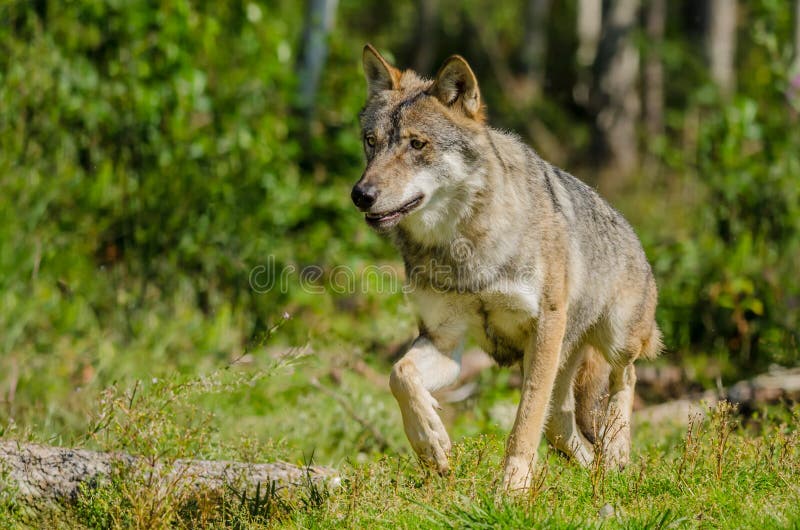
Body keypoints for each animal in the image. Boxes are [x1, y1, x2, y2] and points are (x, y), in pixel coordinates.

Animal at [351, 44, 662, 491]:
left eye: (416, 144)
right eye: (371, 142)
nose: (360, 194)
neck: (462, 249)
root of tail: (630, 227)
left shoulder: (544, 327)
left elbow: (524, 422)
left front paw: (511, 489)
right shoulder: (445, 341)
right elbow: (399, 374)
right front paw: (430, 442)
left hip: (616, 338)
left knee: (627, 377)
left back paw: (617, 450)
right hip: (566, 363)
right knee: (563, 426)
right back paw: (596, 476)